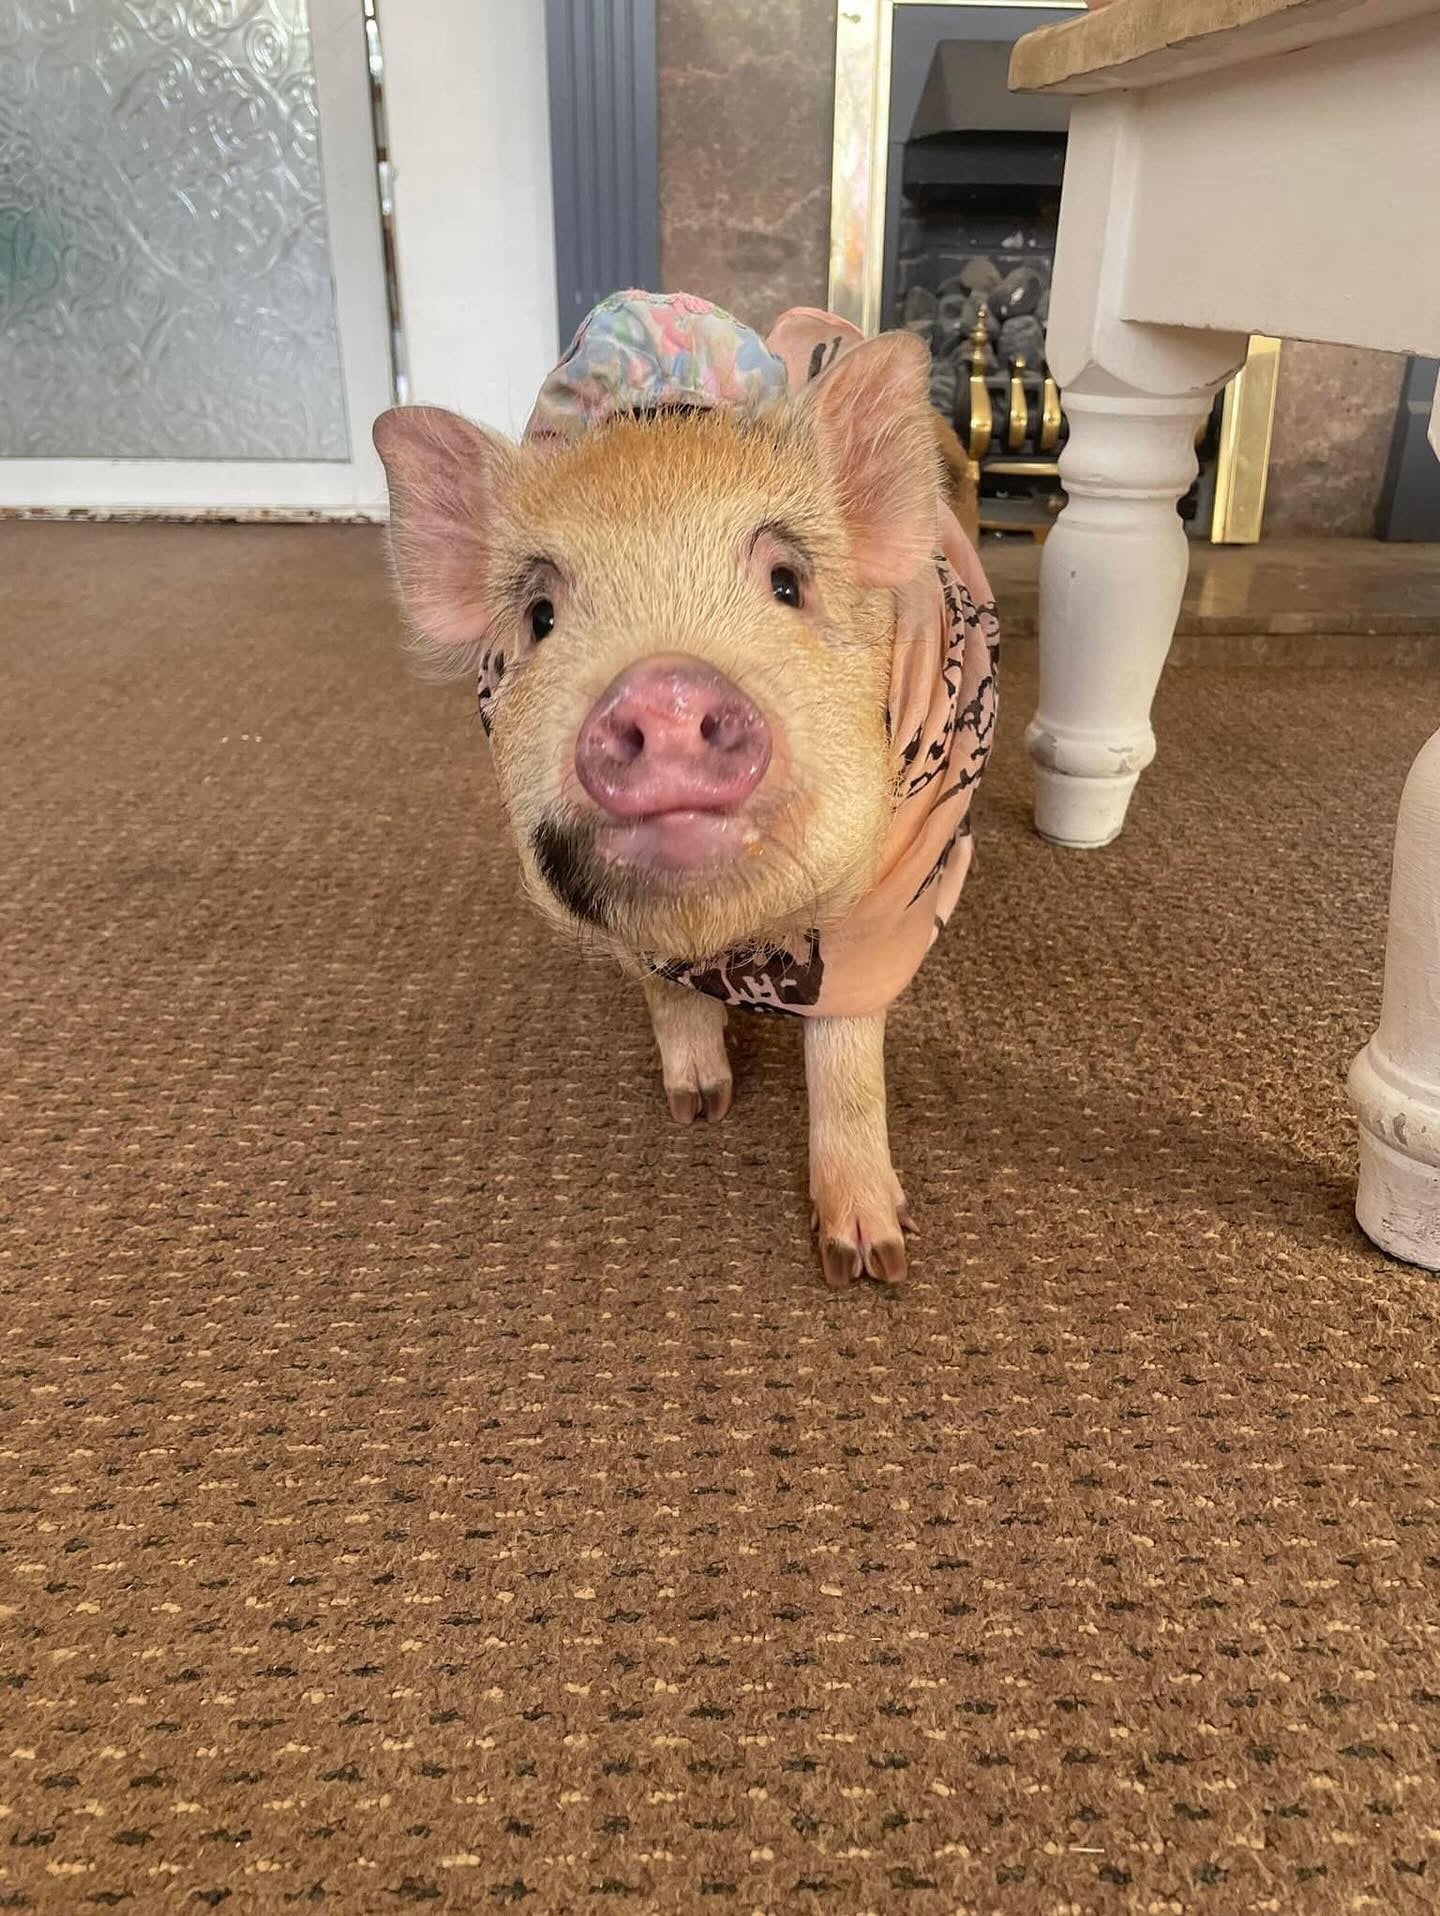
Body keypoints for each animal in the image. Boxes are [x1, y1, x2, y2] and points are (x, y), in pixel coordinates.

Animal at [374, 292, 997, 1288]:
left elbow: (847, 1061)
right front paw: (699, 1109)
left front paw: (868, 1266)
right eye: (541, 617)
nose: (664, 689)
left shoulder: (885, 908)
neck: (728, 932)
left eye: (787, 582)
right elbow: (668, 999)